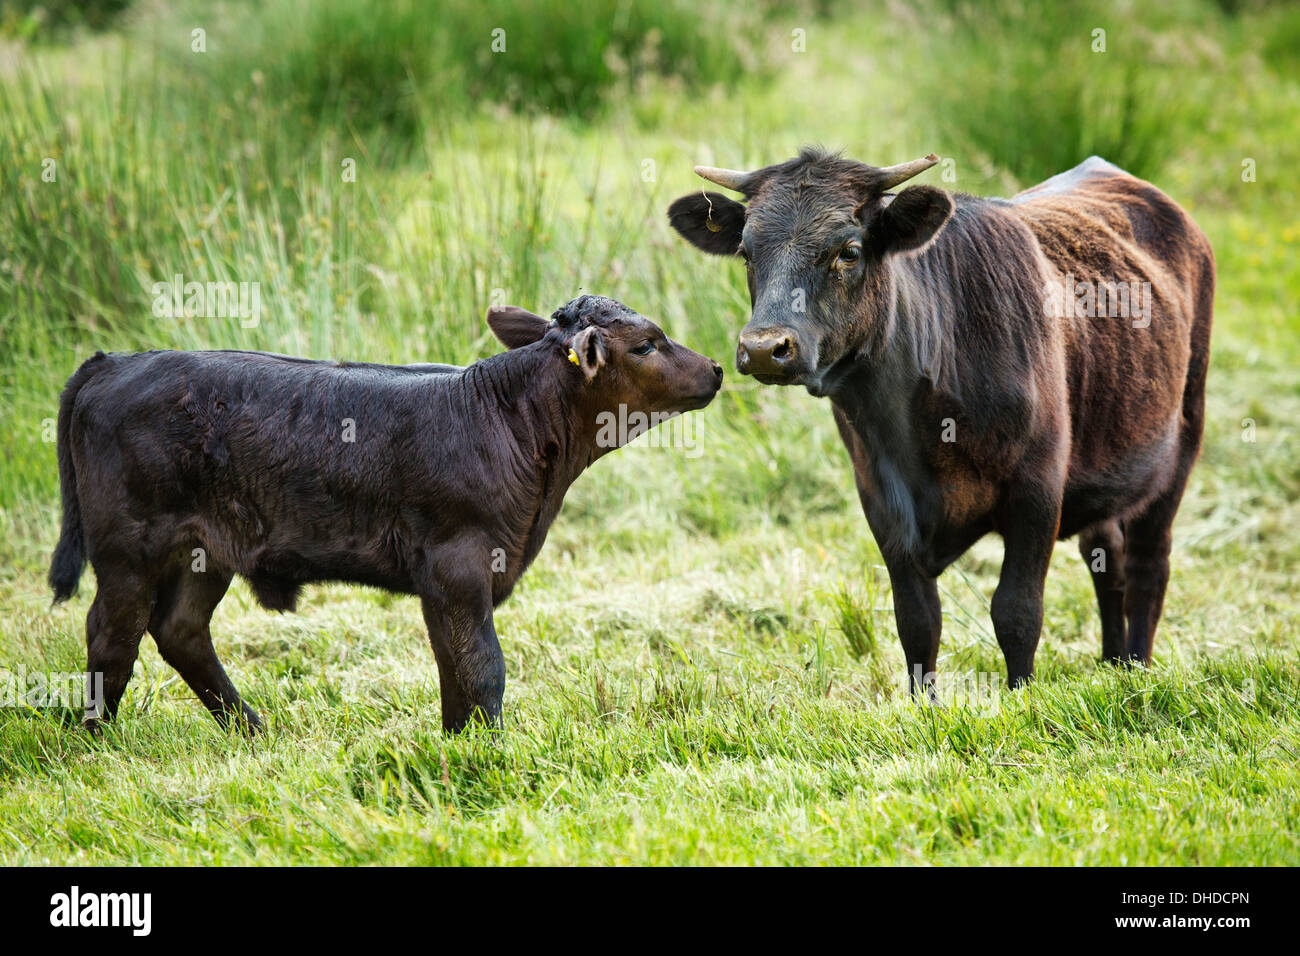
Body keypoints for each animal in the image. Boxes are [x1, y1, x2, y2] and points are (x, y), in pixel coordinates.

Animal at [48, 294, 723, 732]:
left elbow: (455, 666)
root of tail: (118, 361)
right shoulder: (459, 564)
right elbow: (484, 667)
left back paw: (254, 731)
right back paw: (97, 740)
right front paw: (494, 752)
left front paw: (461, 743)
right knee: (112, 634)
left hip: (205, 550)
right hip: (129, 549)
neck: (513, 424)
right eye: (646, 343)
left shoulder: (445, 582)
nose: (717, 368)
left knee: (180, 630)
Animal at [668, 149, 1213, 692]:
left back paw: (1138, 666)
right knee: (1107, 558)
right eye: (746, 252)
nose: (765, 348)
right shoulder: (882, 501)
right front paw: (921, 702)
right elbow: (917, 621)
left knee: (1148, 566)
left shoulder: (1038, 490)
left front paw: (1021, 696)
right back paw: (1115, 664)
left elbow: (1017, 612)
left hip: (1180, 447)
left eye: (848, 251)